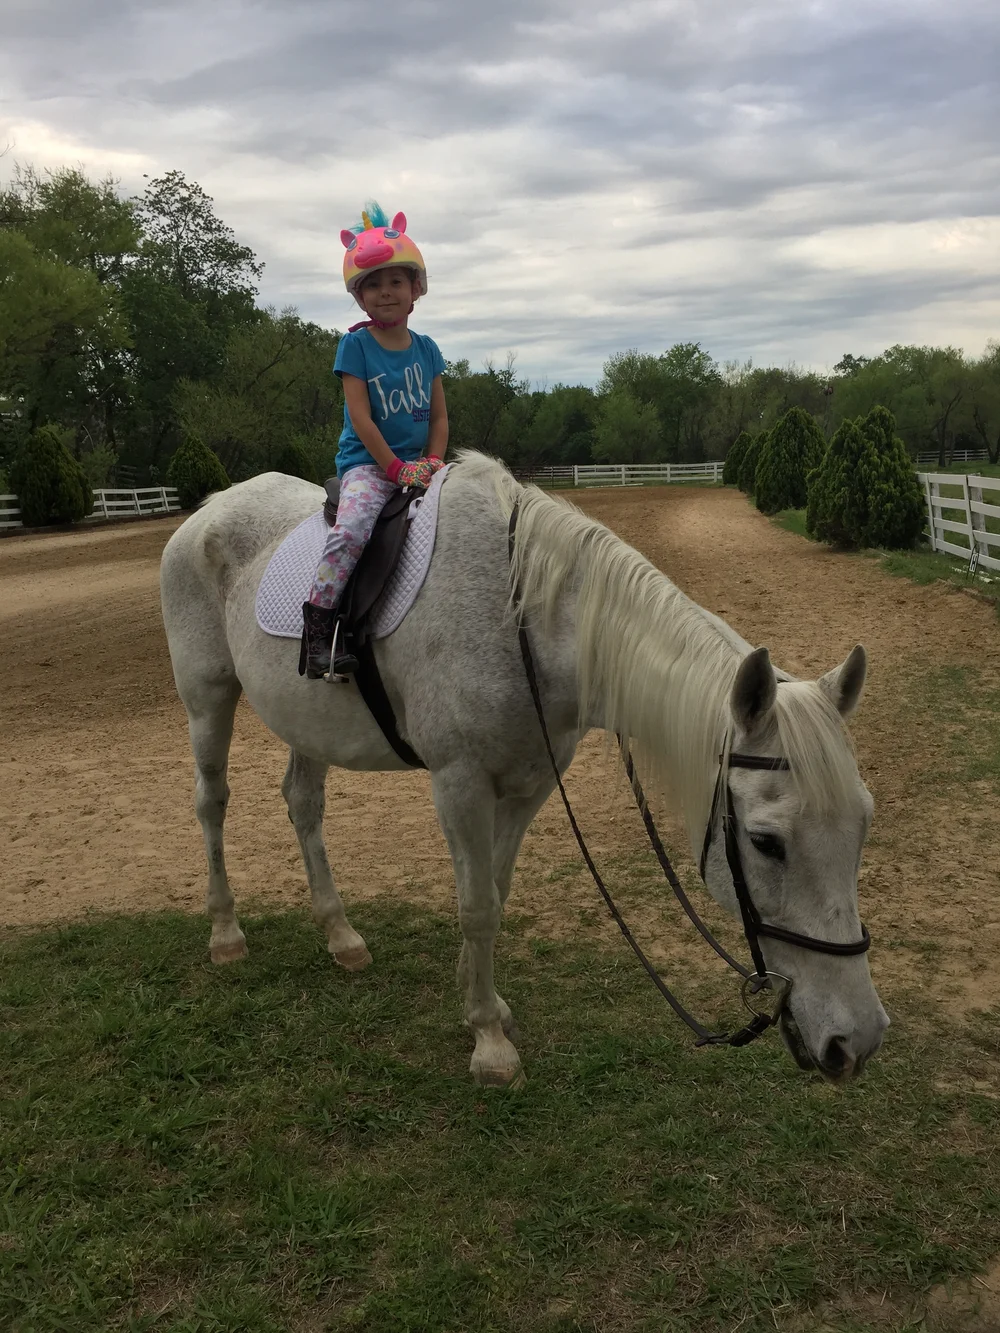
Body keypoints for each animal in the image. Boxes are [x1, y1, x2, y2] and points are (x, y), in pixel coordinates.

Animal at [159, 452, 888, 1088]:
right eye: (766, 842)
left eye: (864, 825)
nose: (856, 1041)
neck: (527, 621)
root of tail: (208, 511)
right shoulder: (459, 783)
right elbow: (477, 905)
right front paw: (488, 1043)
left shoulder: (528, 785)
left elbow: (497, 894)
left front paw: (479, 1000)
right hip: (207, 697)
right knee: (210, 802)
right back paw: (225, 931)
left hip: (304, 720)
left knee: (303, 804)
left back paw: (341, 935)